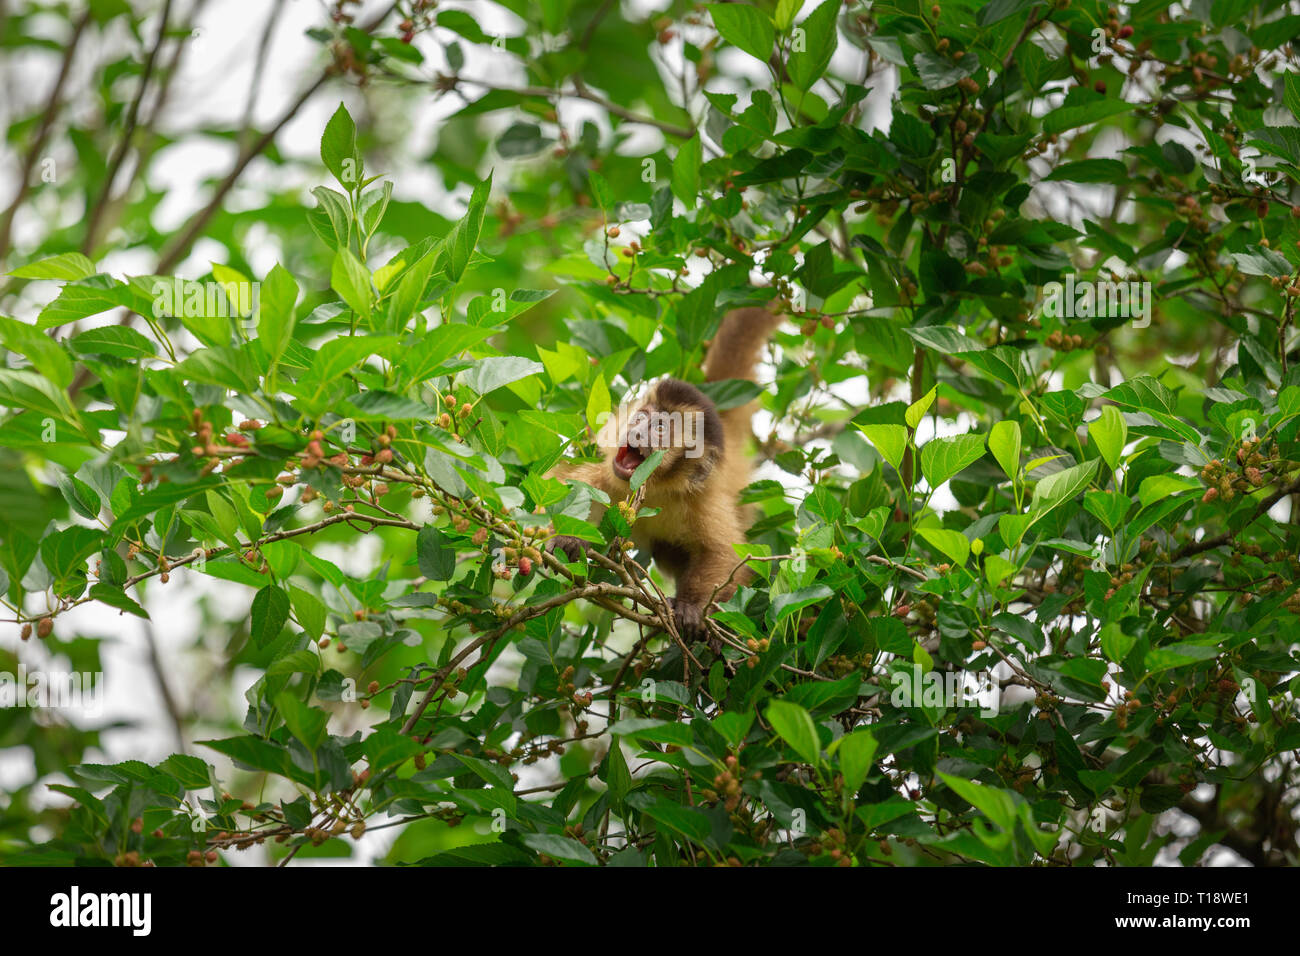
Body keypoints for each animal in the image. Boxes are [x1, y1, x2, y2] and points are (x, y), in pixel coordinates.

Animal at [545, 305, 785, 642]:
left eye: (659, 428)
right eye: (641, 418)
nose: (637, 430)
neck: (655, 487)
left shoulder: (702, 496)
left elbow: (724, 554)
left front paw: (692, 608)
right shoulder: (607, 462)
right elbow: (557, 487)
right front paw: (569, 537)